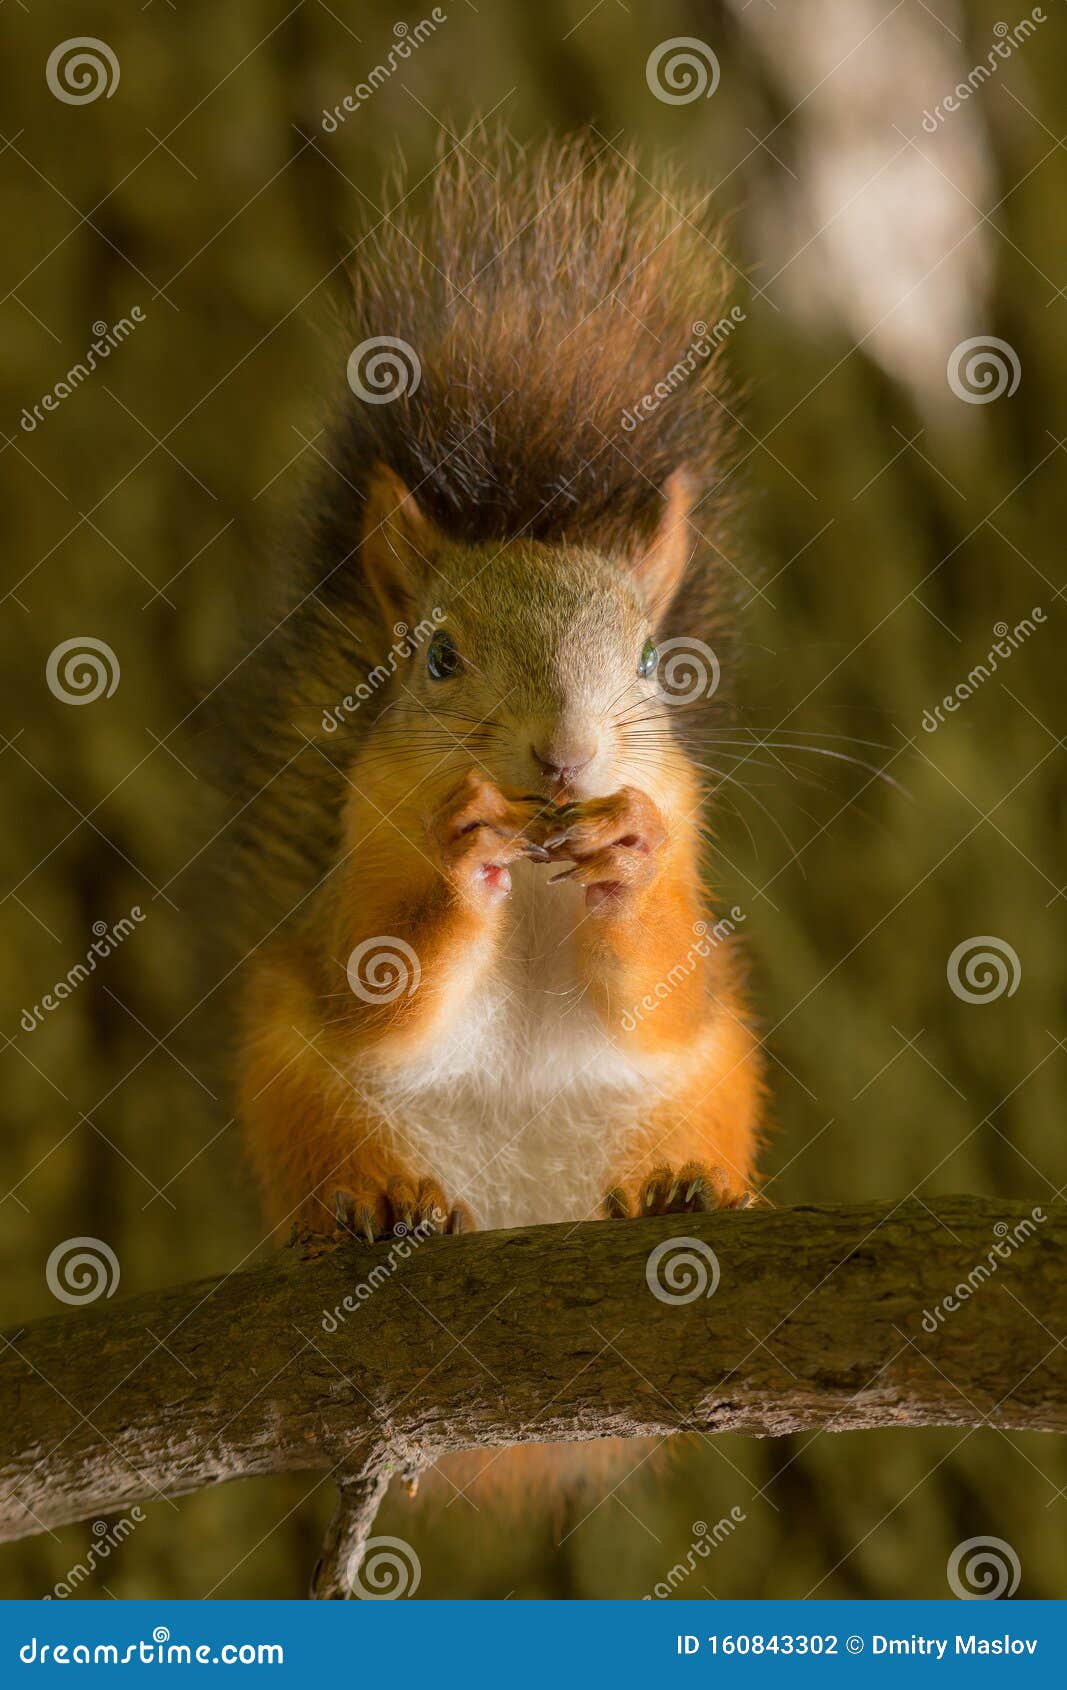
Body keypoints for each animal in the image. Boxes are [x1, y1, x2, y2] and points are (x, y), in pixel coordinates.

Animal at [227, 135, 765, 1265]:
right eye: (436, 656)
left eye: (652, 660)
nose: (563, 754)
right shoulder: (365, 831)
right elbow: (374, 976)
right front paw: (458, 842)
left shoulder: (686, 845)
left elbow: (664, 988)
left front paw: (627, 850)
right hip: (306, 1097)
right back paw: (380, 1201)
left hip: (703, 1089)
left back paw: (681, 1187)